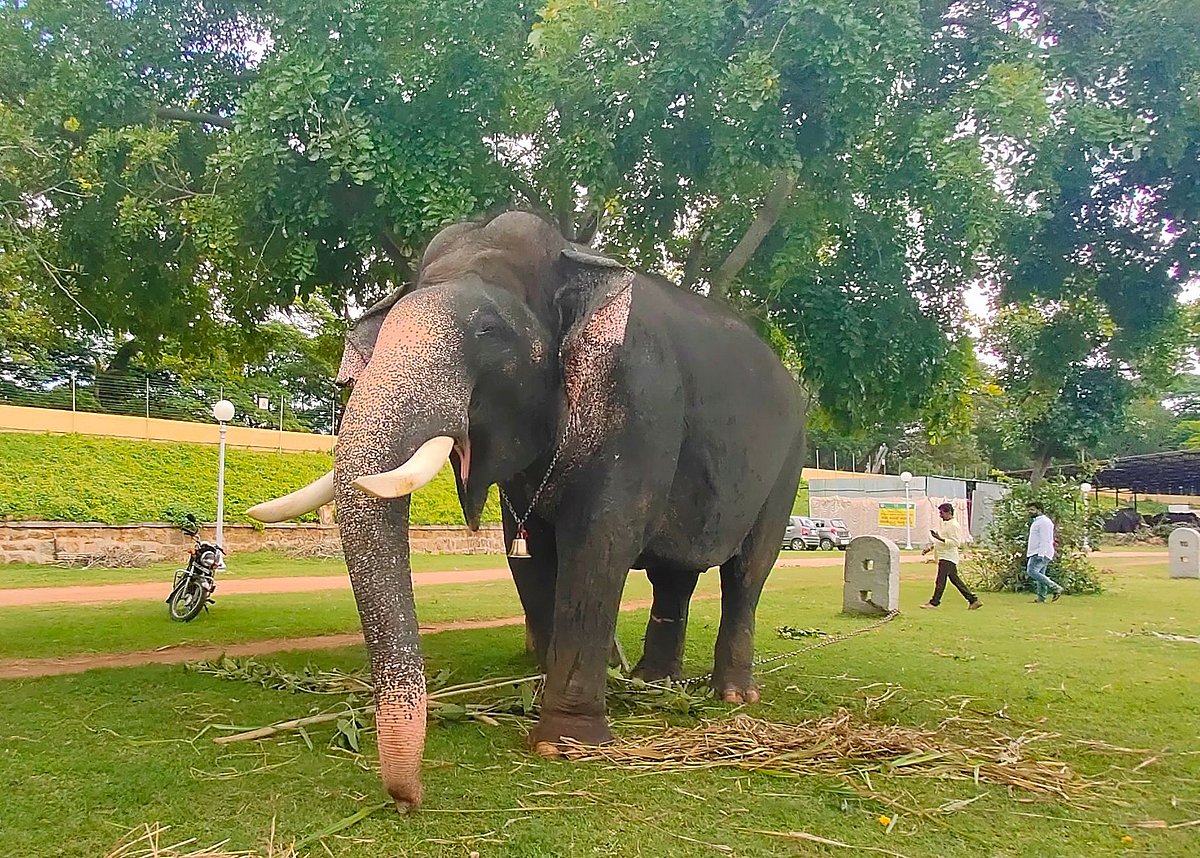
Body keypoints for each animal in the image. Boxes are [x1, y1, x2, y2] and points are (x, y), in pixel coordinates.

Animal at [248, 211, 807, 810]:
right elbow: (532, 556)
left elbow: (599, 546)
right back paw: (652, 686)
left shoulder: (641, 406)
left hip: (787, 466)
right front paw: (541, 702)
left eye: (489, 332)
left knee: (746, 574)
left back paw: (733, 696)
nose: (408, 798)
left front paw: (563, 746)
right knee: (673, 576)